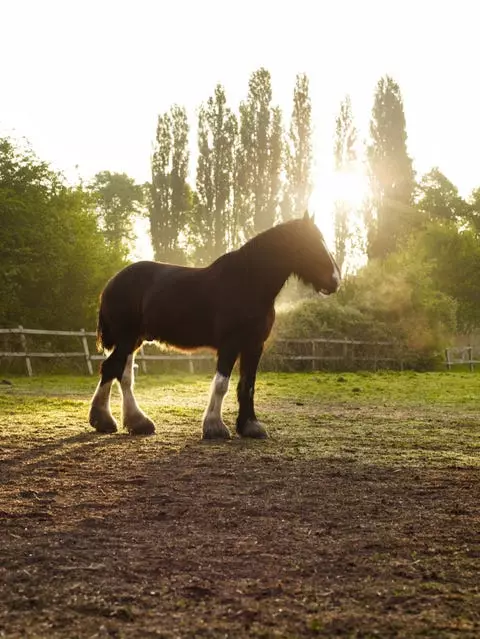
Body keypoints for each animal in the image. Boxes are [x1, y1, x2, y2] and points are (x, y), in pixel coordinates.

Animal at [88, 212, 340, 442]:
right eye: (309, 244)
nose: (335, 280)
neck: (248, 282)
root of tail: (112, 282)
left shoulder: (254, 345)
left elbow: (248, 385)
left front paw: (250, 426)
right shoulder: (230, 344)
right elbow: (221, 384)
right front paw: (214, 427)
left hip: (134, 339)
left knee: (123, 375)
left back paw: (137, 423)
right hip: (127, 338)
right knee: (111, 369)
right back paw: (104, 421)